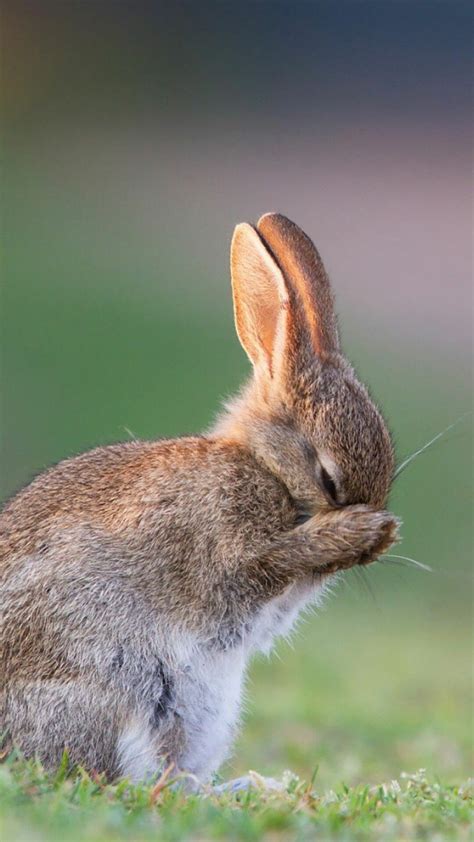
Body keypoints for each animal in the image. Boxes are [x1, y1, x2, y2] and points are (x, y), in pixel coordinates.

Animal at [0, 212, 399, 785]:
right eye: (328, 479)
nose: (377, 540)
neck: (264, 466)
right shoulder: (228, 549)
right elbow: (266, 563)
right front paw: (359, 531)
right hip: (119, 689)